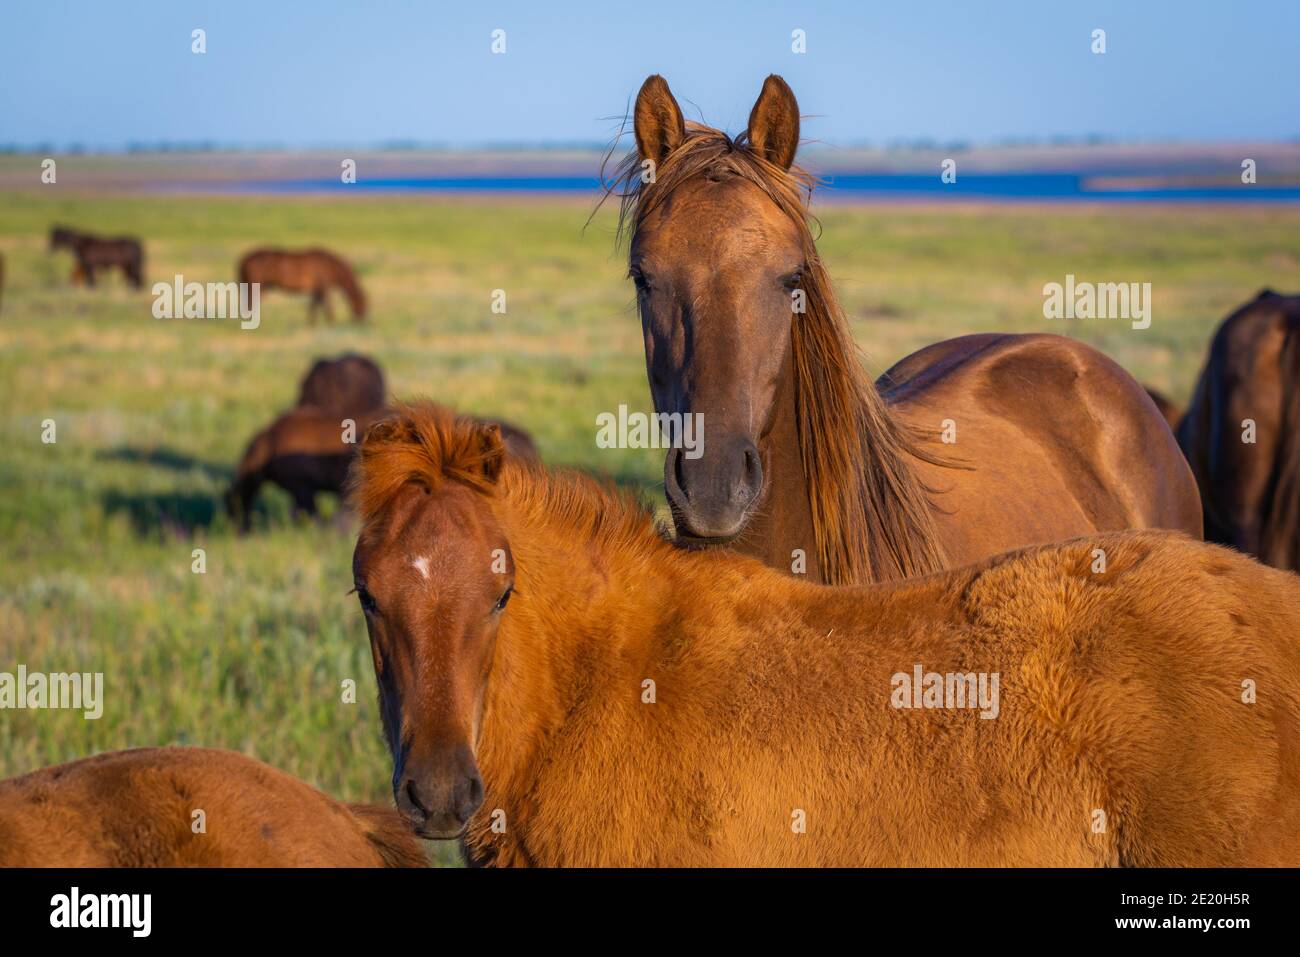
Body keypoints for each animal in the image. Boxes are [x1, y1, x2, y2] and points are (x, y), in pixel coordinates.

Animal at [238, 247, 367, 323]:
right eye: (362, 303)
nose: (362, 322)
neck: (330, 265)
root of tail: (244, 259)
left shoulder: (317, 290)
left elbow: (314, 306)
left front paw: (311, 323)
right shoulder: (324, 288)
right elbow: (327, 306)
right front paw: (331, 322)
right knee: (250, 304)